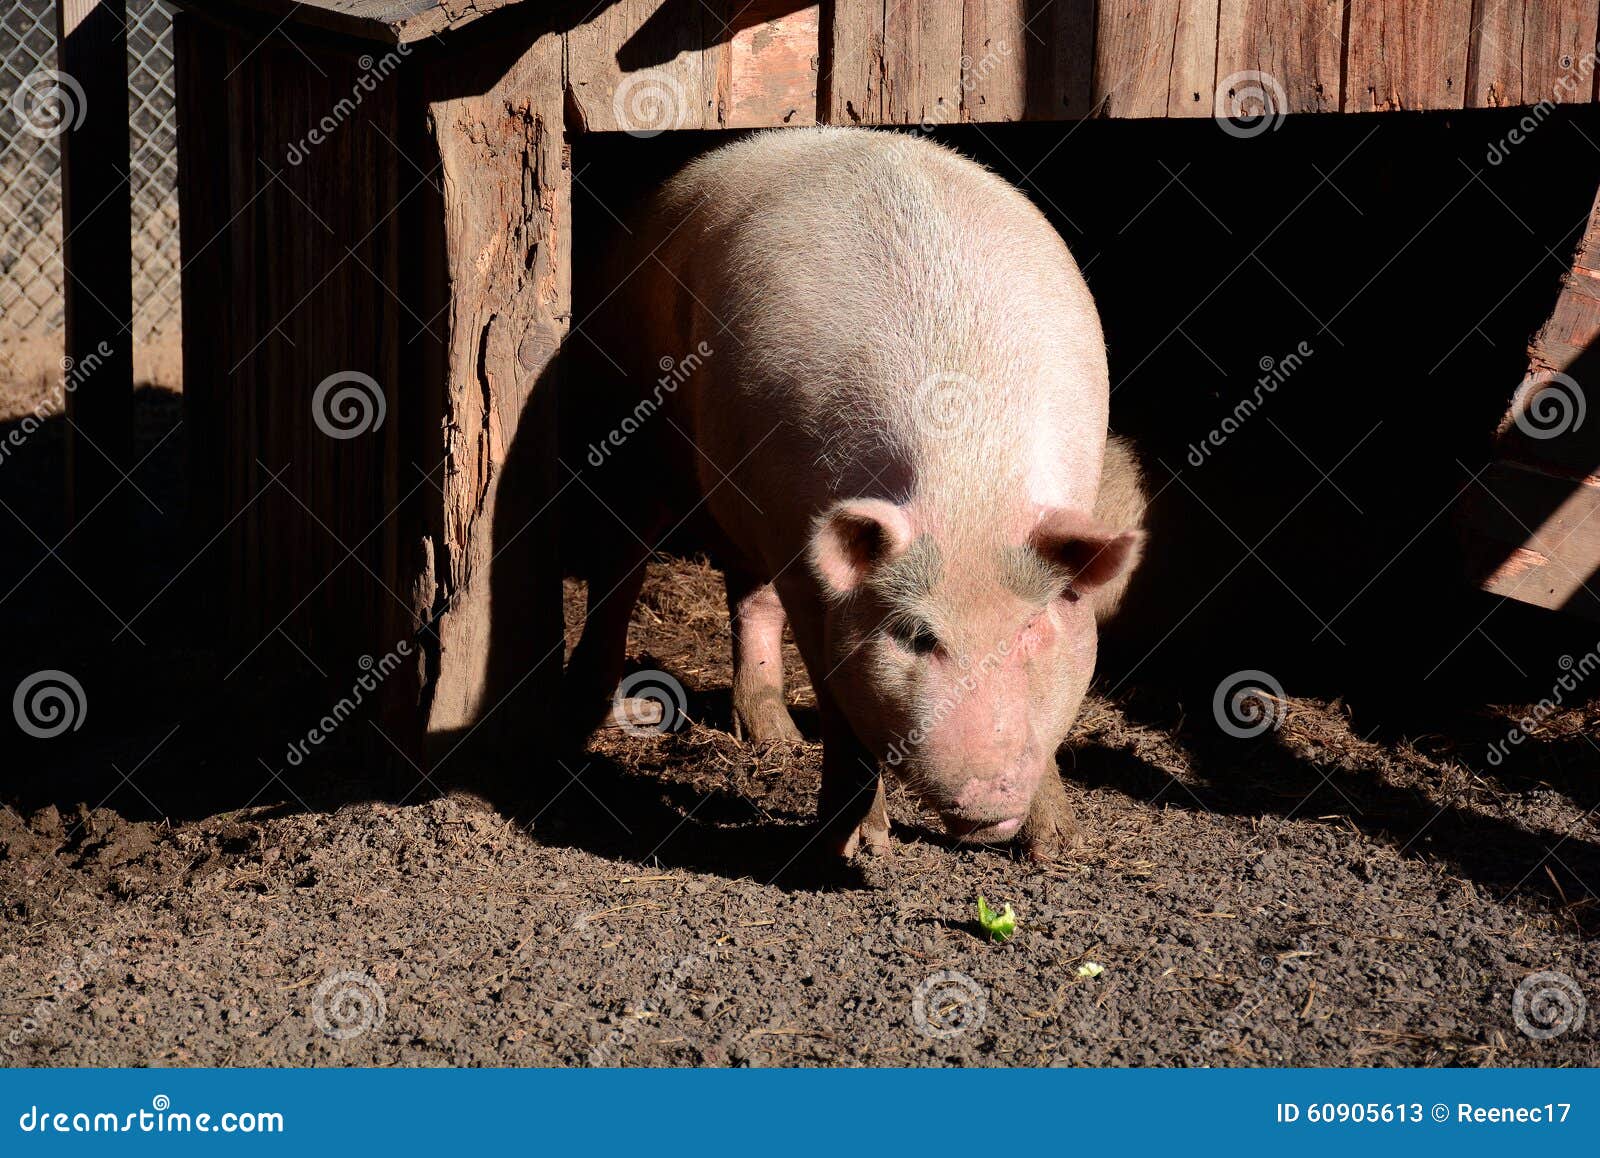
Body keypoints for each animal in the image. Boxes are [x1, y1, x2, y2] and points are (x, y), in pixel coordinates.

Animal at [565, 127, 1144, 865]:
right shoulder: (811, 575)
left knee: (746, 591)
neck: (970, 485)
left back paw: (777, 738)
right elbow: (839, 703)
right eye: (917, 635)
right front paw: (857, 846)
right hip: (628, 411)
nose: (986, 793)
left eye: (1031, 630)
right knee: (622, 558)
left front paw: (1060, 845)